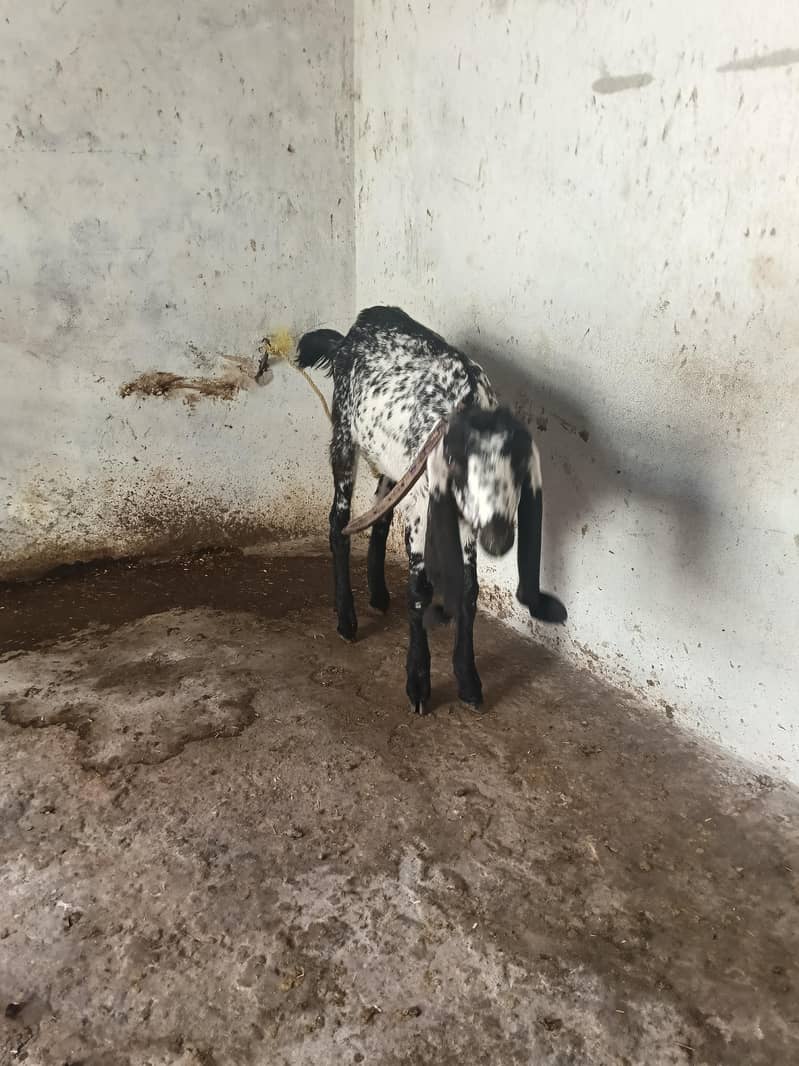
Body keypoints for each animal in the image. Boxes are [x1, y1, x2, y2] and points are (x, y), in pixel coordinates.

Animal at [297, 306, 566, 714]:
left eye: (521, 471)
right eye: (460, 467)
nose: (499, 539)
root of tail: (349, 336)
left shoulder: (464, 524)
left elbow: (468, 591)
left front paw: (469, 682)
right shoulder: (423, 512)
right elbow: (420, 590)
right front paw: (418, 683)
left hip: (393, 464)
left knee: (381, 515)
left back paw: (378, 595)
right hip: (344, 438)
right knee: (339, 523)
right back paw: (346, 619)